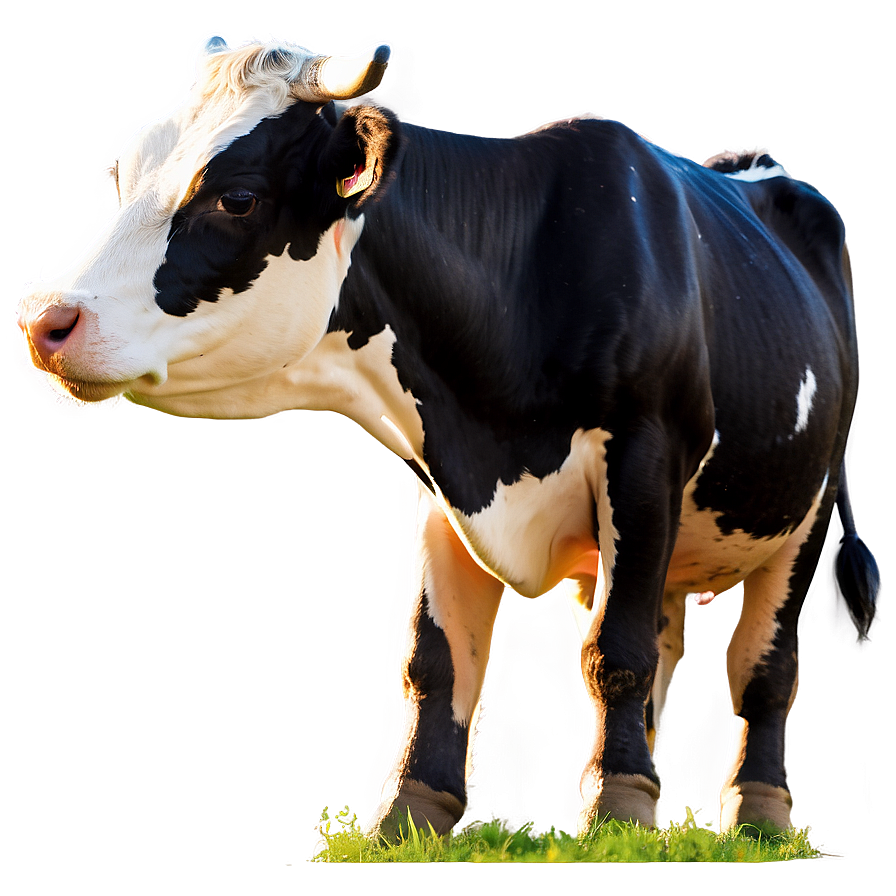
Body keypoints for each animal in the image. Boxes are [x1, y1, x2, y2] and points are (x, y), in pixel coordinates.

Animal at [16, 37, 879, 839]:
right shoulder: (443, 476)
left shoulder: (644, 453)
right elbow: (438, 659)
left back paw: (758, 808)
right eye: (127, 177)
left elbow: (619, 652)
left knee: (763, 666)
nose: (45, 322)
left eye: (236, 197)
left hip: (811, 505)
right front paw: (414, 809)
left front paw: (623, 806)